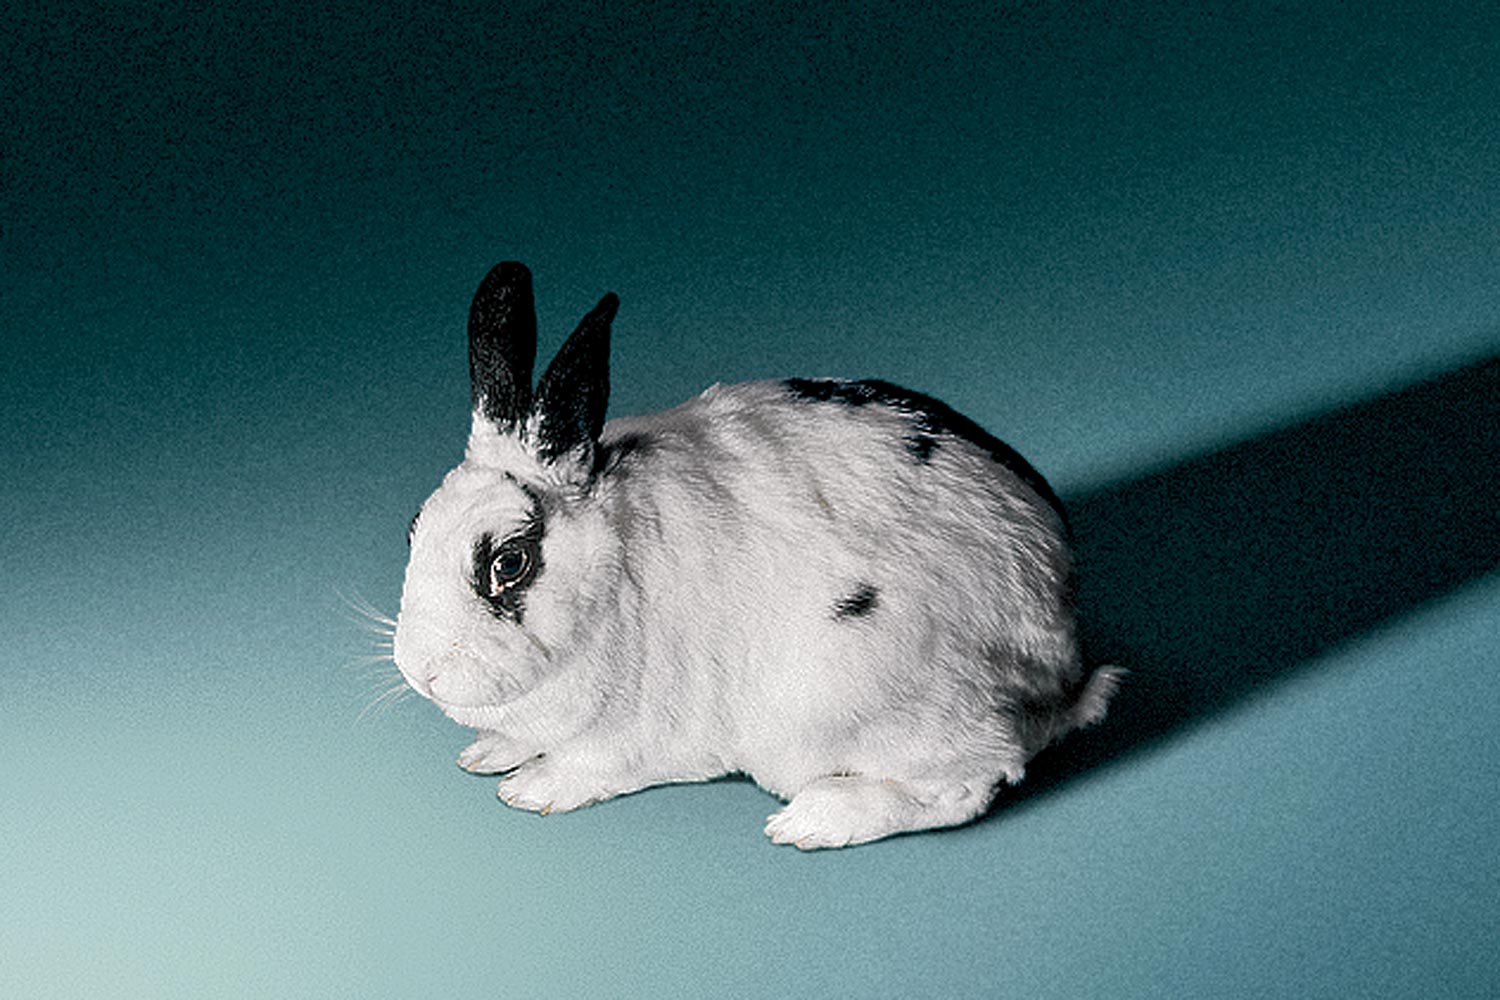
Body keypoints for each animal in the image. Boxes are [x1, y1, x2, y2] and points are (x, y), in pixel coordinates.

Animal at [392, 261, 1122, 850]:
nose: (422, 671)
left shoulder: (636, 734)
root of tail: (1058, 668)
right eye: (412, 529)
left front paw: (530, 789)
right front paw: (487, 753)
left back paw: (814, 821)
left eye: (508, 563)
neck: (611, 567)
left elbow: (592, 764)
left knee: (970, 783)